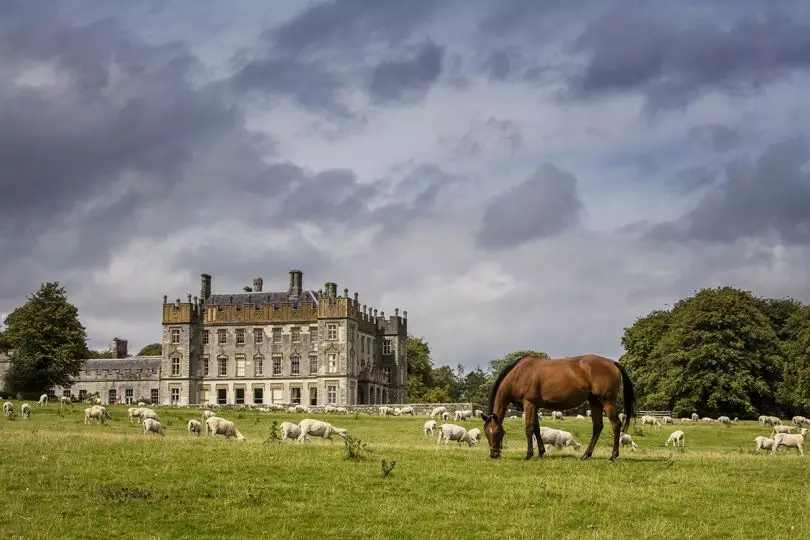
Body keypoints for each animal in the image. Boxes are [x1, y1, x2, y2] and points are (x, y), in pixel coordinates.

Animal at [480, 354, 632, 460]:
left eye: (498, 432)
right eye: (486, 433)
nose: (494, 455)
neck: (520, 373)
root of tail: (612, 363)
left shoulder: (529, 404)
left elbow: (529, 429)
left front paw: (529, 454)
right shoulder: (535, 406)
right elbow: (536, 429)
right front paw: (541, 453)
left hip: (607, 402)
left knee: (616, 425)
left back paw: (613, 456)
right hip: (594, 402)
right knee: (597, 427)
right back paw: (585, 455)